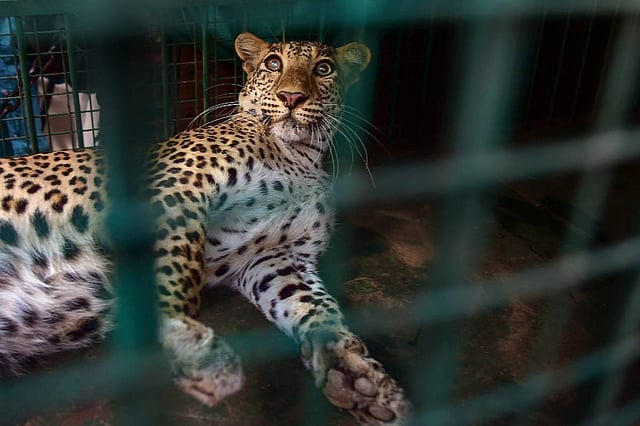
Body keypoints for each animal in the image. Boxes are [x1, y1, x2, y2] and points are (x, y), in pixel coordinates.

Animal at [0, 32, 410, 425]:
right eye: (273, 64)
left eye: (324, 69)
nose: (291, 96)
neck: (300, 156)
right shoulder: (175, 188)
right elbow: (179, 268)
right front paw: (188, 343)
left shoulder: (277, 260)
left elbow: (318, 310)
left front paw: (355, 375)